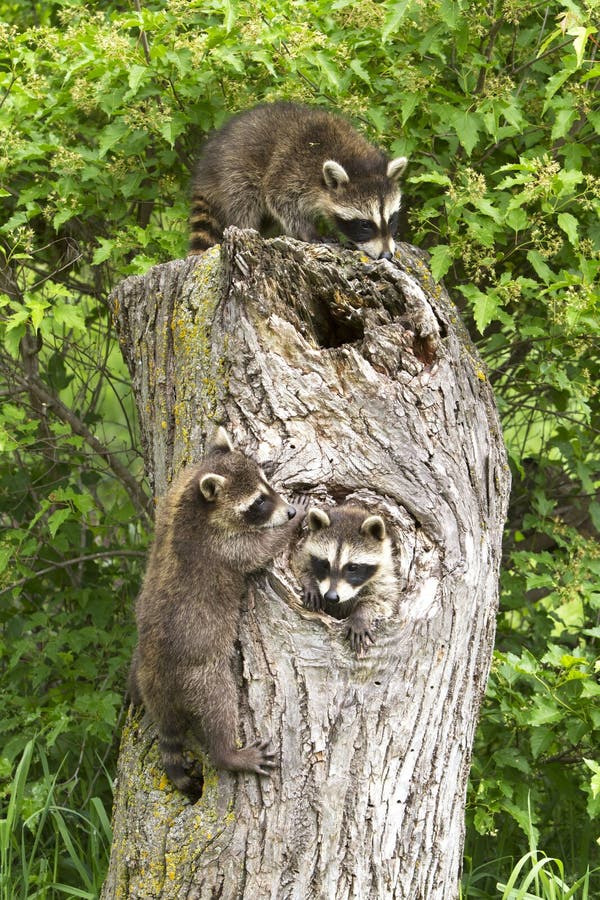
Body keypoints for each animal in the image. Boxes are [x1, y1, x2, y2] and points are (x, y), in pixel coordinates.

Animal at [129, 426, 301, 798]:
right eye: (258, 503)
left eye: (266, 486)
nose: (291, 512)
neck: (195, 506)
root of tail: (156, 686)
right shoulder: (225, 548)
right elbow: (260, 550)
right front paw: (297, 522)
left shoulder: (174, 493)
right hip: (198, 676)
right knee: (218, 707)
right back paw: (229, 753)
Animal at [189, 101, 408, 260]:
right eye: (365, 224)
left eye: (391, 219)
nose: (386, 255)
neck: (353, 159)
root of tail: (205, 171)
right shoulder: (291, 168)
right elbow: (281, 201)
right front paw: (309, 232)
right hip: (234, 170)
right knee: (244, 202)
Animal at [293, 504, 398, 655]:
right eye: (325, 564)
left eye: (352, 567)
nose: (331, 597)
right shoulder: (303, 554)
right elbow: (297, 565)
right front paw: (310, 583)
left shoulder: (385, 577)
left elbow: (384, 601)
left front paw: (361, 613)